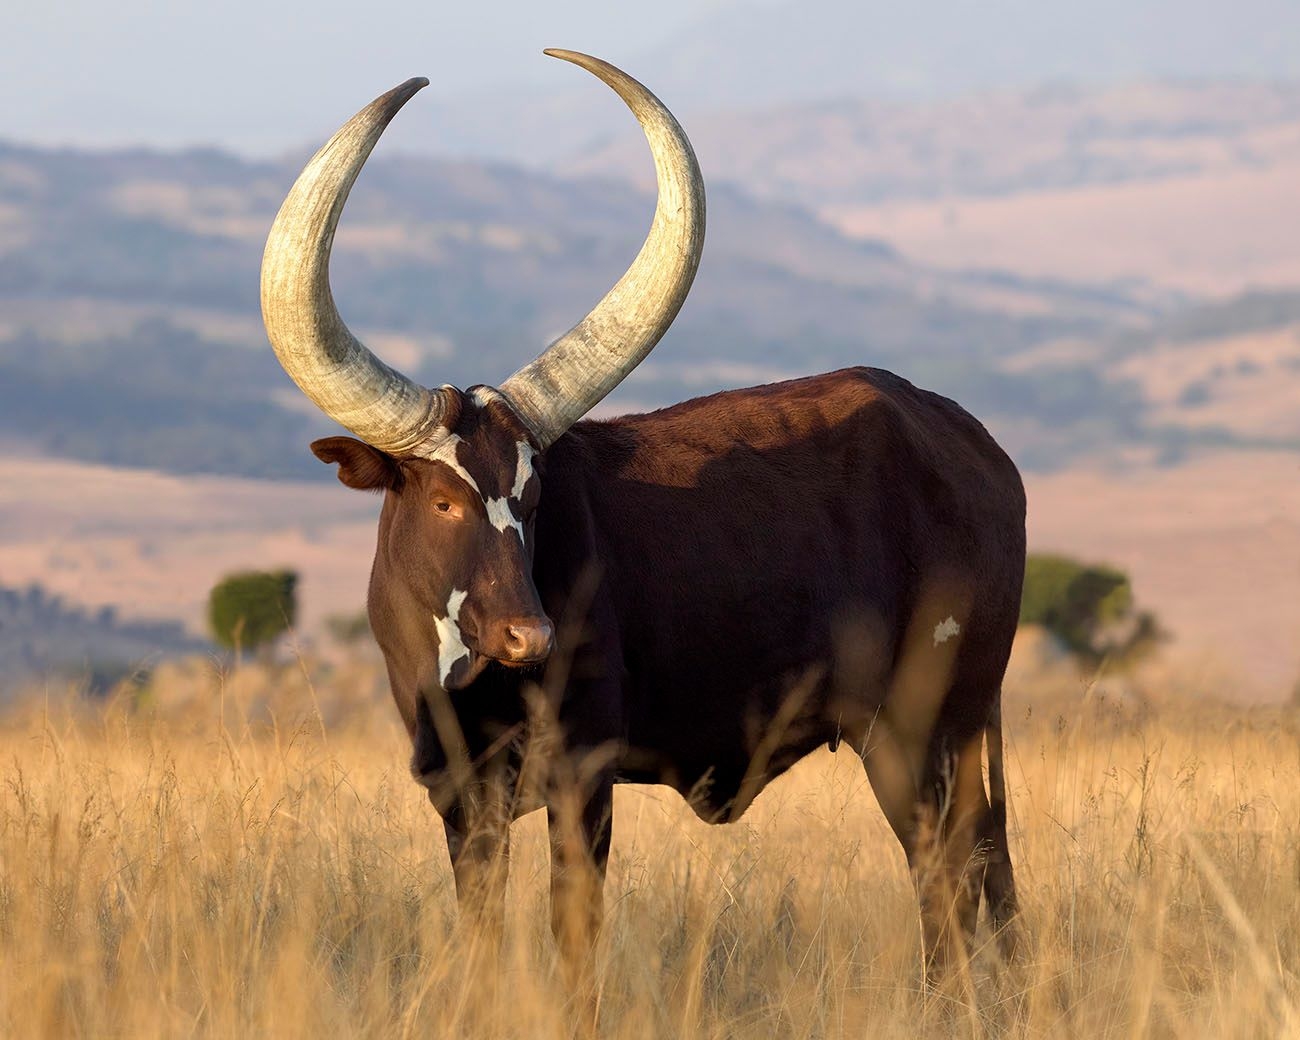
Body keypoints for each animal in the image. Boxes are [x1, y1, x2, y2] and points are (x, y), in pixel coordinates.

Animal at [261, 50, 1024, 978]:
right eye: (443, 499)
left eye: (534, 496)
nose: (531, 636)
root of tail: (970, 444)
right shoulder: (459, 797)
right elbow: (481, 937)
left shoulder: (582, 776)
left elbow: (575, 935)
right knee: (988, 878)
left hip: (916, 739)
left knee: (946, 893)